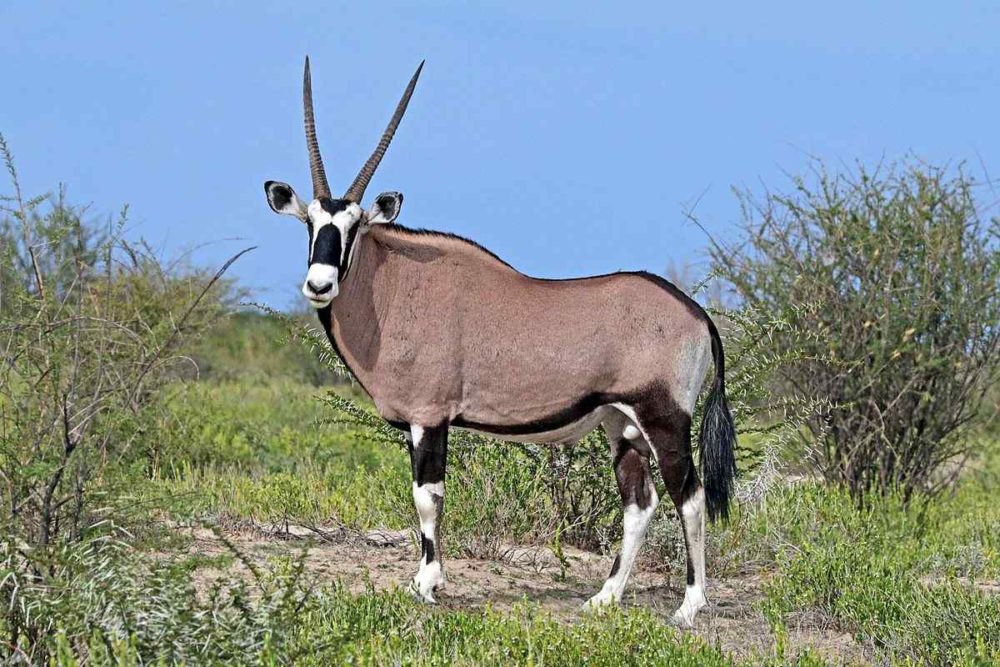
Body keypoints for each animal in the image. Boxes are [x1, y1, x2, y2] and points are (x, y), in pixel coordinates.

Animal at [263, 58, 736, 627]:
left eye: (354, 226)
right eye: (310, 223)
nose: (319, 285)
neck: (396, 282)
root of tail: (696, 312)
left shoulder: (429, 418)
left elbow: (428, 497)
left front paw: (427, 584)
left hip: (664, 420)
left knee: (690, 497)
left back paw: (689, 606)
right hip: (621, 425)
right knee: (639, 503)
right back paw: (605, 597)